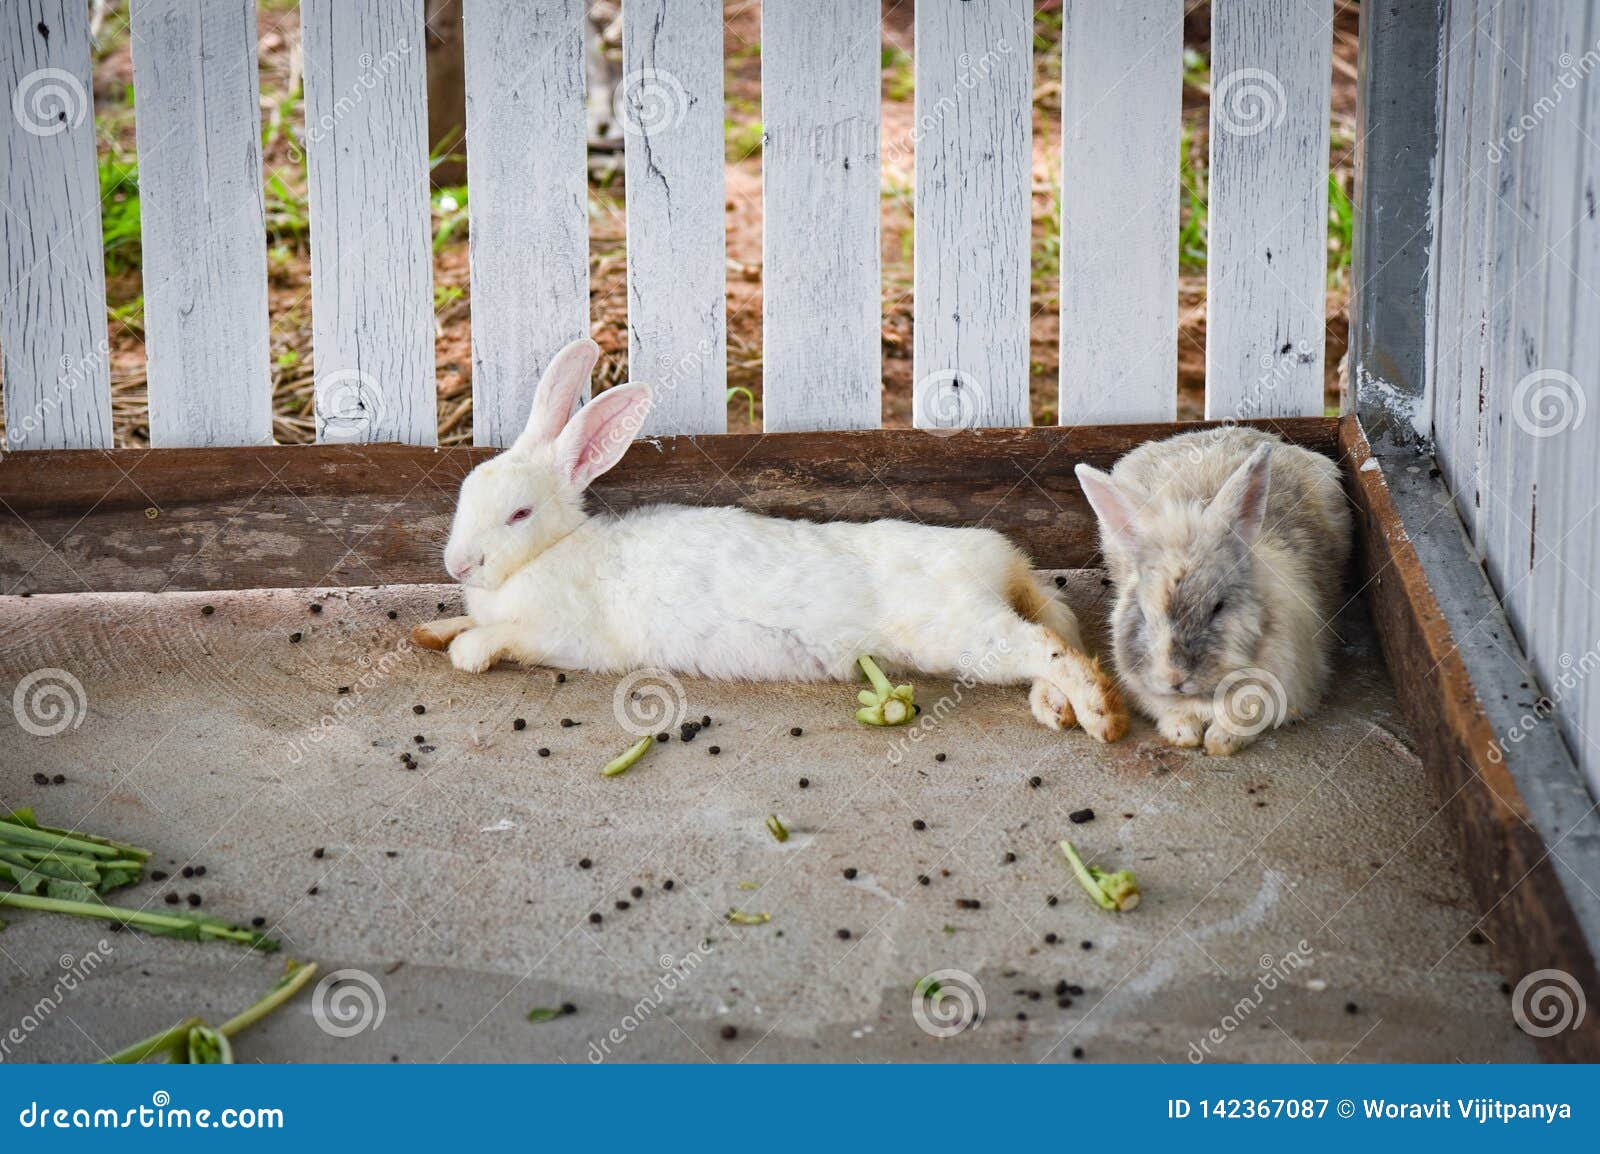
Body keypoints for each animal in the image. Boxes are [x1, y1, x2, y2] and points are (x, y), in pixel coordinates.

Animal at [413, 338, 1128, 742]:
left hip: (962, 633)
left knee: (1048, 650)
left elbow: (500, 640)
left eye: (519, 514)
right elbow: (458, 626)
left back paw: (1101, 718)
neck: (548, 555)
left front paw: (467, 653)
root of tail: (1004, 563)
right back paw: (1059, 711)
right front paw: (431, 632)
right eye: (467, 491)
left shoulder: (558, 636)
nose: (458, 564)